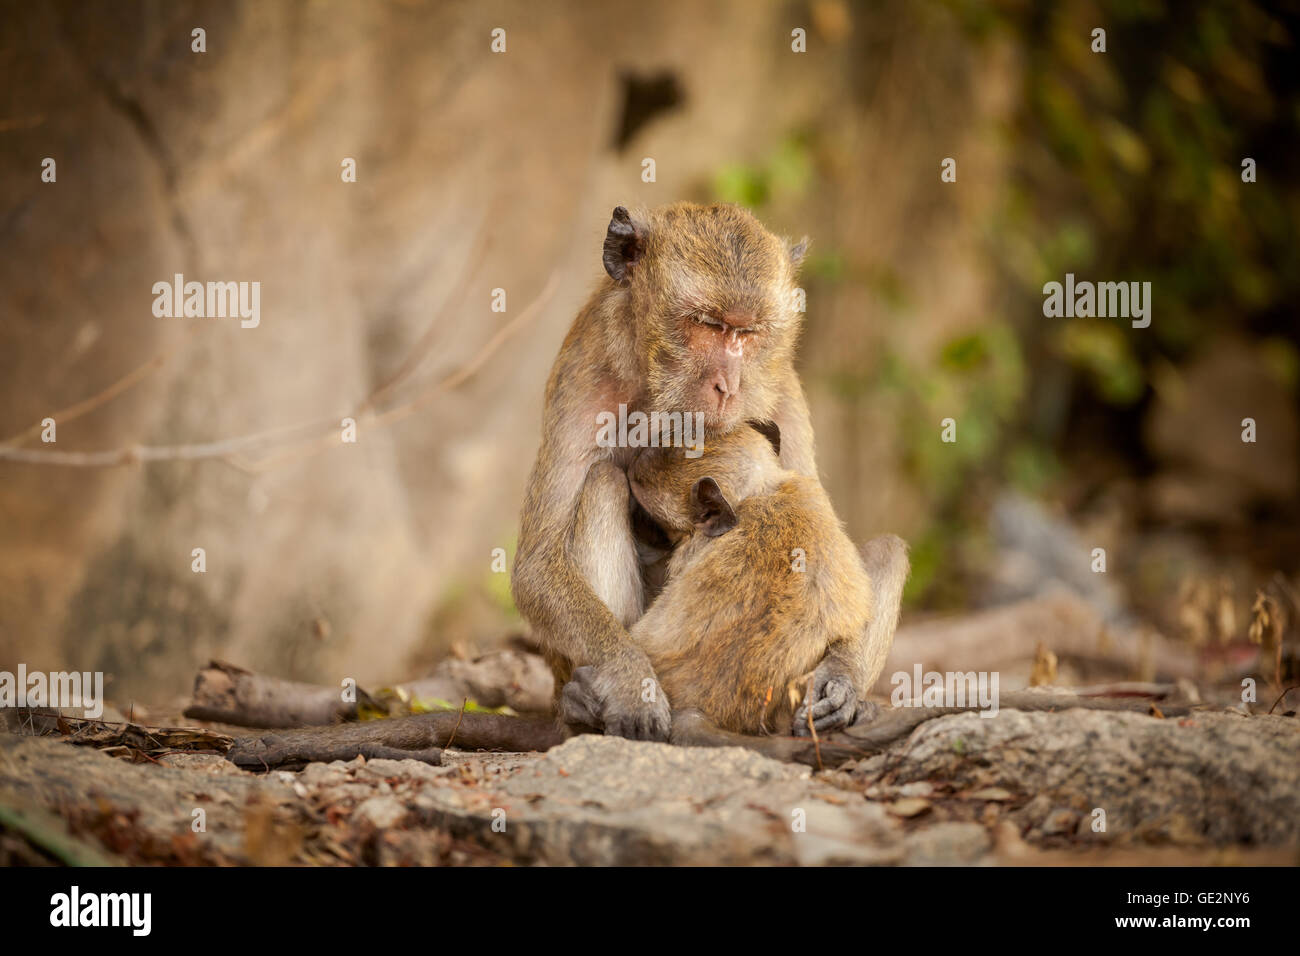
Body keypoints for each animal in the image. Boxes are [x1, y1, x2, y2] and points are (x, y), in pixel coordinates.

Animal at [512, 202, 819, 741]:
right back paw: (582, 703)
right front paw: (634, 685)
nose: (728, 386)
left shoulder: (778, 386)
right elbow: (537, 566)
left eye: (747, 333)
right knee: (601, 483)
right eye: (707, 324)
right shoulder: (586, 373)